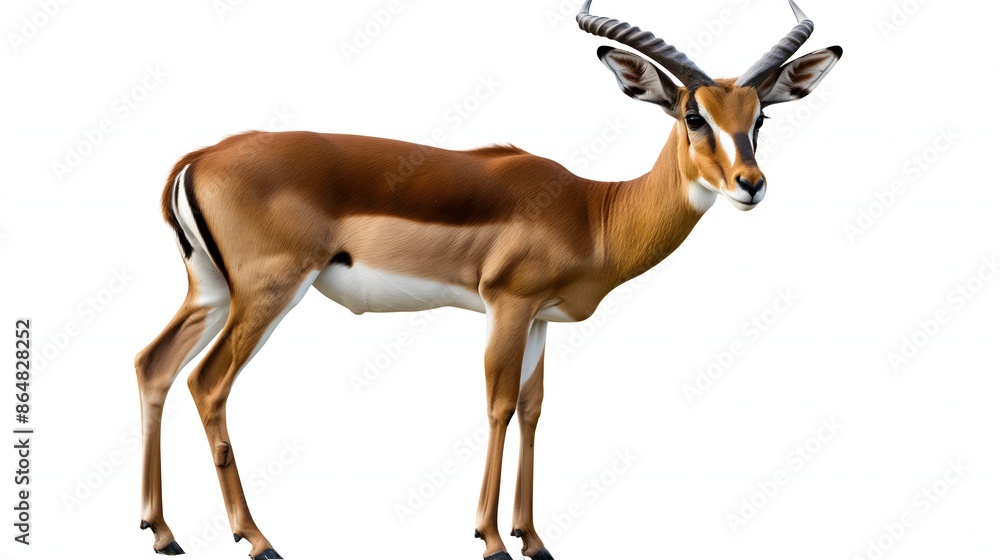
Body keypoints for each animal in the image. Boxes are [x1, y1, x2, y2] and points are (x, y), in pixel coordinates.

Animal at [134, 1, 840, 558]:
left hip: (210, 293)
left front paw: (535, 540)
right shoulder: (507, 305)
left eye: (759, 117)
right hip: (267, 294)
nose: (751, 185)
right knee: (208, 383)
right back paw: (258, 540)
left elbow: (532, 409)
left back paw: (164, 533)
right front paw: (493, 540)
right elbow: (498, 405)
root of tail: (201, 157)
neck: (592, 210)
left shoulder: (541, 320)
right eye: (694, 115)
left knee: (154, 365)